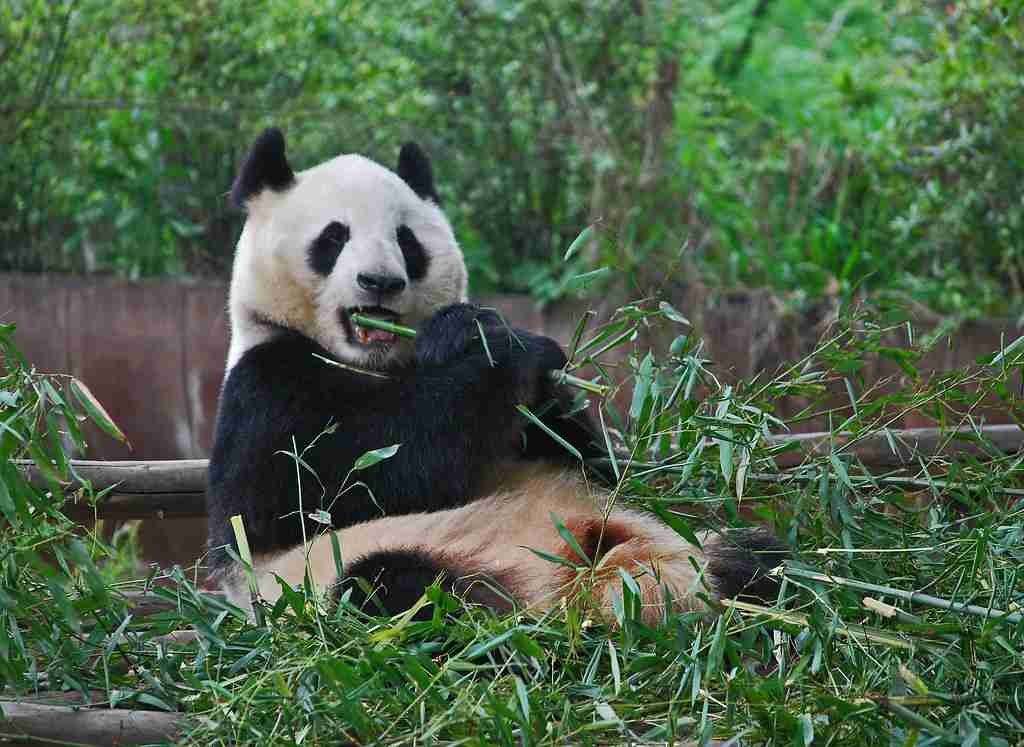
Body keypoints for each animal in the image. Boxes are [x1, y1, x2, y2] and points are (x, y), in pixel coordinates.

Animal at [206, 128, 785, 625]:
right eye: (333, 237)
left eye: (407, 241)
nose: (380, 282)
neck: (374, 364)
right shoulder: (266, 389)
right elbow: (338, 480)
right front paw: (509, 352)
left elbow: (582, 452)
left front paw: (471, 331)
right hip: (362, 572)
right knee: (393, 589)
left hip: (670, 536)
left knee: (763, 553)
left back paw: (743, 577)